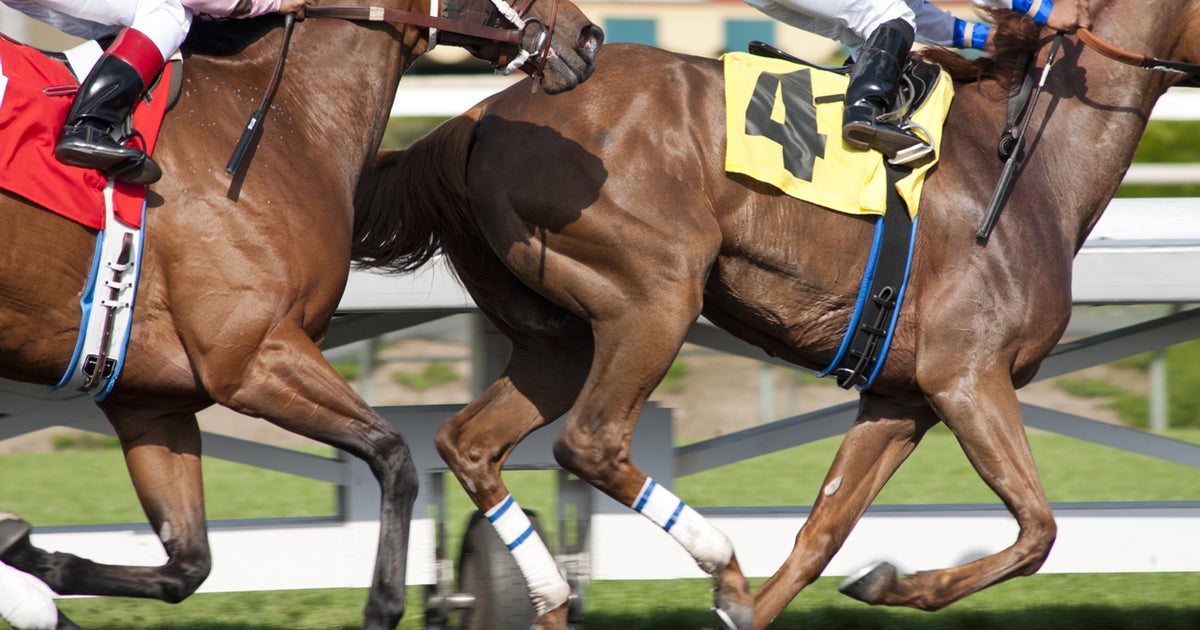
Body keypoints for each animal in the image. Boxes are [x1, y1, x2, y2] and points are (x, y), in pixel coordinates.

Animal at [0, 1, 602, 628]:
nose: (587, 37)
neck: (286, 120)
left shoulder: (151, 403)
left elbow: (186, 566)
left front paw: (36, 559)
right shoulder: (253, 356)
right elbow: (393, 455)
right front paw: (384, 605)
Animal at [352, 0, 1199, 627]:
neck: (1027, 167)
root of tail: (477, 118)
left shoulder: (901, 398)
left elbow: (822, 533)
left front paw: (859, 582)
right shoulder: (967, 376)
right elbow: (1039, 529)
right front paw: (882, 585)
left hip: (556, 340)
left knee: (468, 442)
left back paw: (555, 598)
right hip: (657, 292)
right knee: (589, 442)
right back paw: (719, 564)